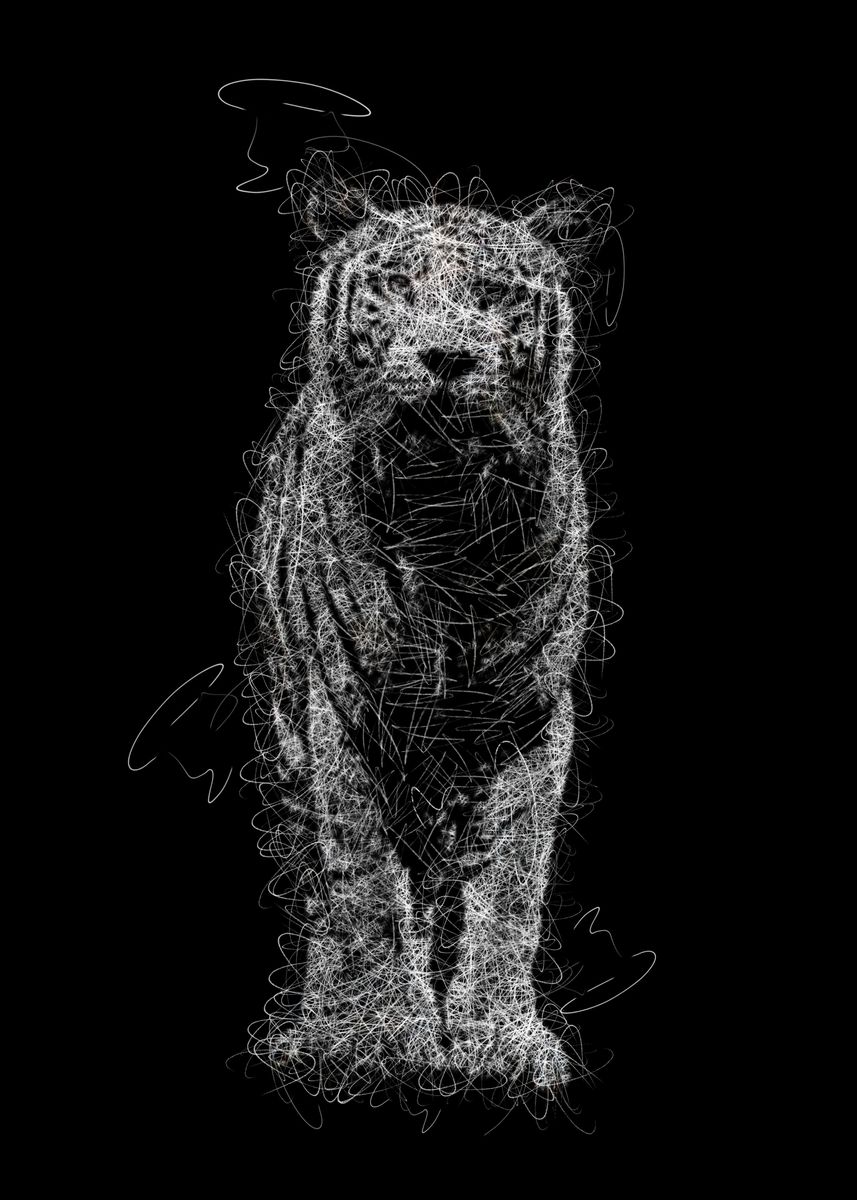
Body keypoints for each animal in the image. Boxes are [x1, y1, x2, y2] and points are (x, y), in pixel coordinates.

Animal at [237, 156, 610, 1101]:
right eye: (398, 285)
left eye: (492, 293)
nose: (447, 354)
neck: (446, 531)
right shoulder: (345, 714)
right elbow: (365, 882)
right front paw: (378, 1038)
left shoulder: (528, 718)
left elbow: (510, 888)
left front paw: (500, 1042)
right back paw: (318, 1029)